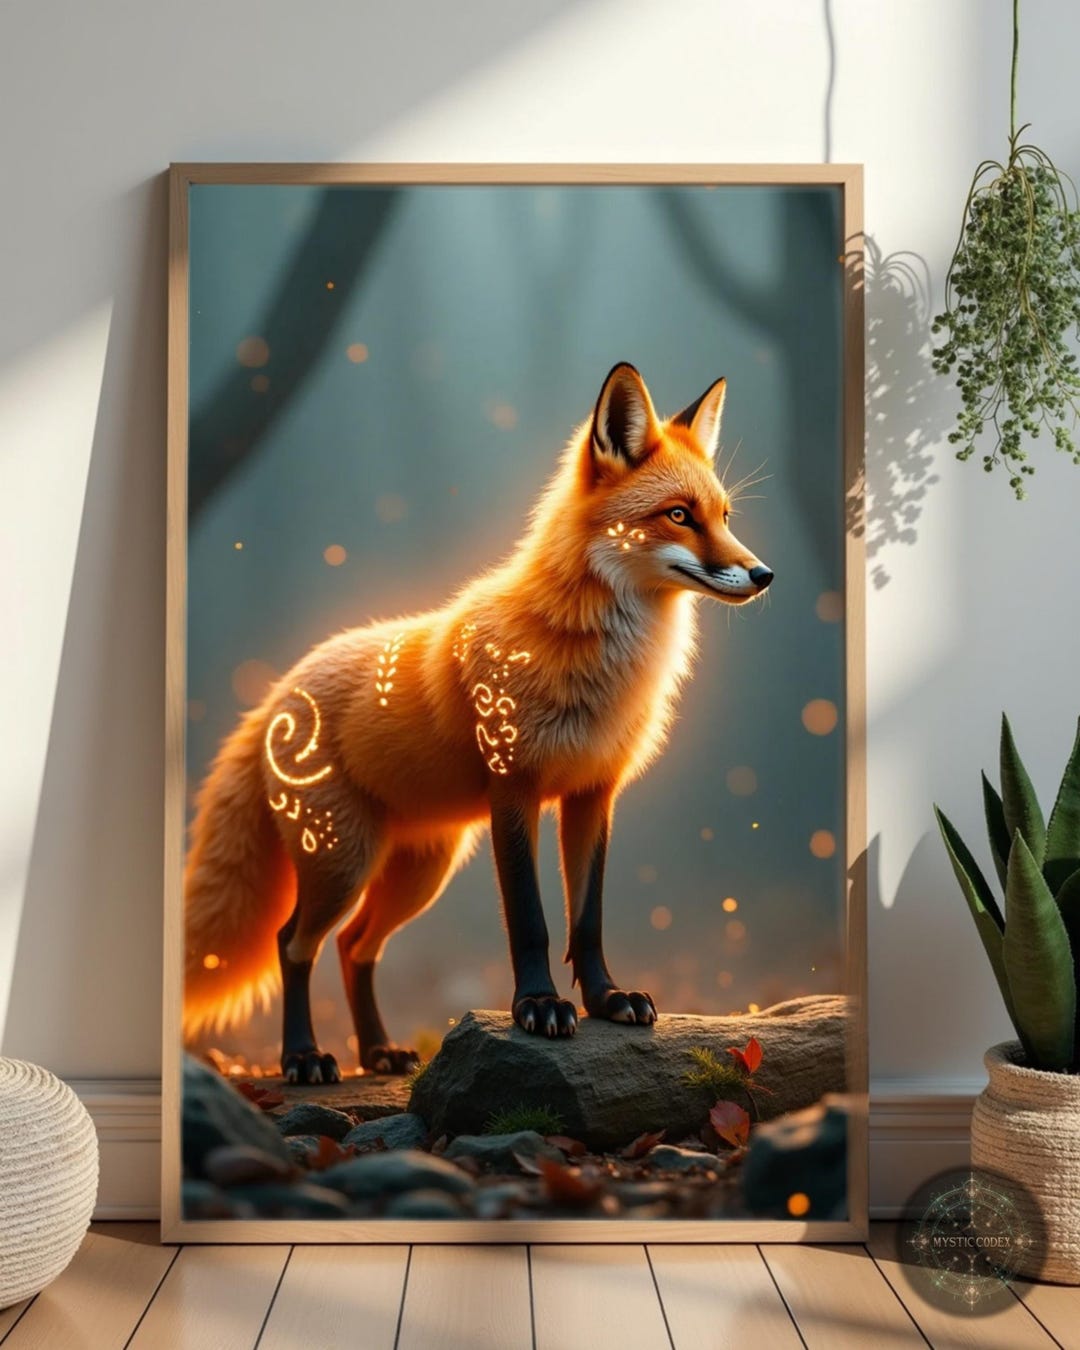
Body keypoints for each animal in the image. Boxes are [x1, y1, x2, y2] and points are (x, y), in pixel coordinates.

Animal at [182, 363, 774, 1083]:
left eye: (724, 516)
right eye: (679, 516)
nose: (763, 574)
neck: (594, 661)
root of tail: (277, 694)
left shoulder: (592, 794)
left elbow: (588, 919)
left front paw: (607, 1000)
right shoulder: (513, 789)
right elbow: (531, 920)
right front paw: (539, 1007)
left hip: (417, 872)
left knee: (354, 946)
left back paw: (377, 1051)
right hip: (342, 863)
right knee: (292, 944)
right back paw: (303, 1057)